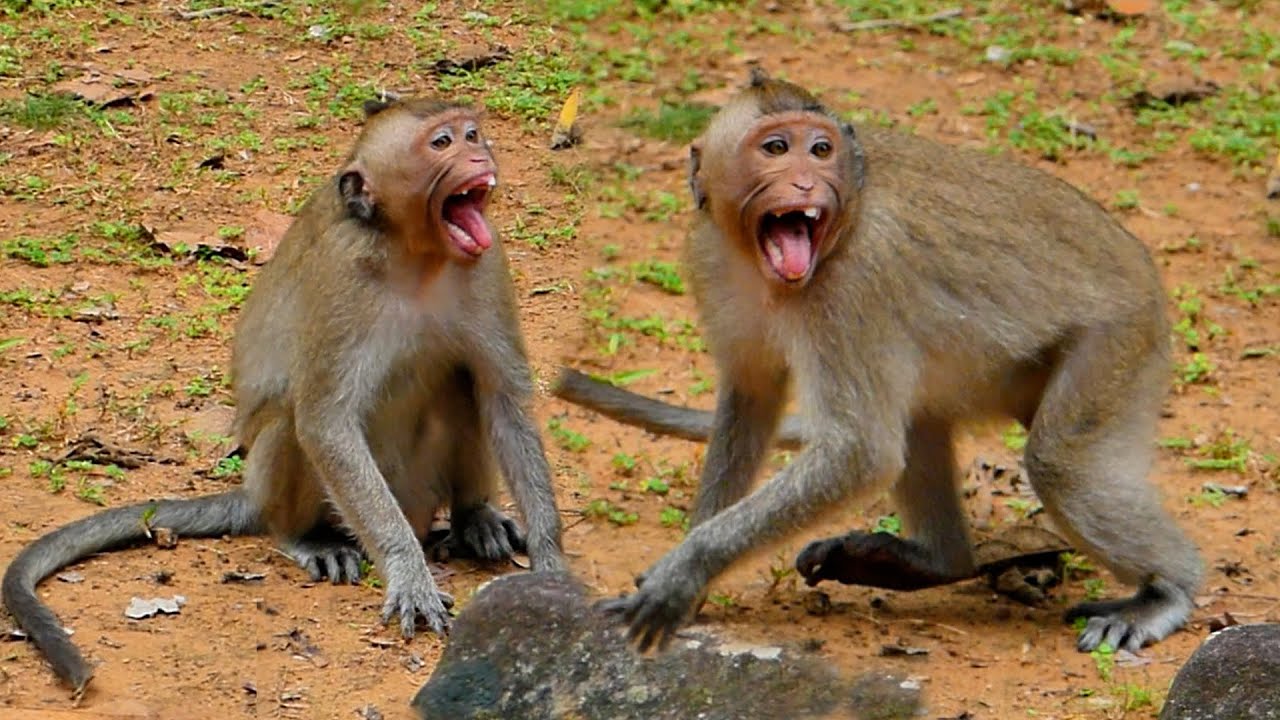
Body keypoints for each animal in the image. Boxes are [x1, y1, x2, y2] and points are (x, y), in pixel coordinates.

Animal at [3, 97, 567, 697]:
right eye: (442, 143)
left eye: (471, 133)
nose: (480, 152)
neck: (415, 253)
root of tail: (254, 494)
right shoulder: (343, 278)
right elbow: (323, 422)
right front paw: (409, 574)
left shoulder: (487, 262)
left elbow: (505, 401)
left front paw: (551, 568)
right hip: (307, 492)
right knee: (291, 425)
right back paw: (308, 539)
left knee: (461, 381)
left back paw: (472, 517)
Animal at [557, 69, 1202, 655]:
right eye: (776, 148)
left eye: (821, 150)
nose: (806, 182)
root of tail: (1142, 264)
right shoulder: (709, 257)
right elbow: (751, 398)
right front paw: (691, 581)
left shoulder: (852, 285)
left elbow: (858, 453)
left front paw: (686, 570)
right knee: (917, 414)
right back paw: (935, 563)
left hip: (1120, 338)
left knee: (1060, 463)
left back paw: (1166, 591)